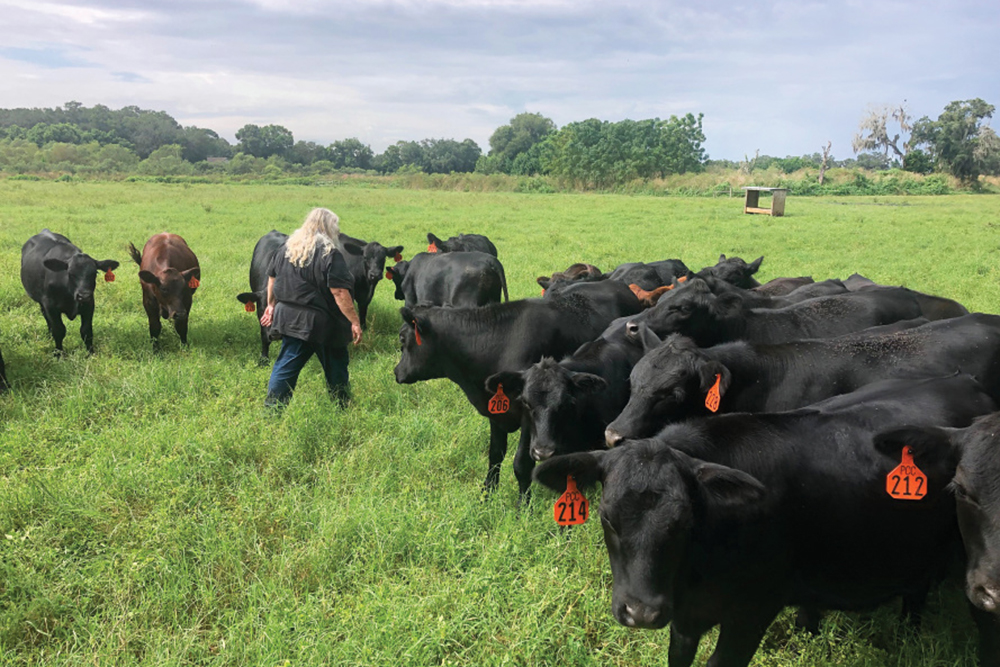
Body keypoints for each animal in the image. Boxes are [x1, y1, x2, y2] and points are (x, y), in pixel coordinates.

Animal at [394, 287, 641, 498]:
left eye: (402, 339)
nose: (396, 371)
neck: (499, 344)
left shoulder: (528, 417)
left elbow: (522, 463)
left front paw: (524, 506)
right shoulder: (496, 411)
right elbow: (495, 454)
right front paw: (487, 494)